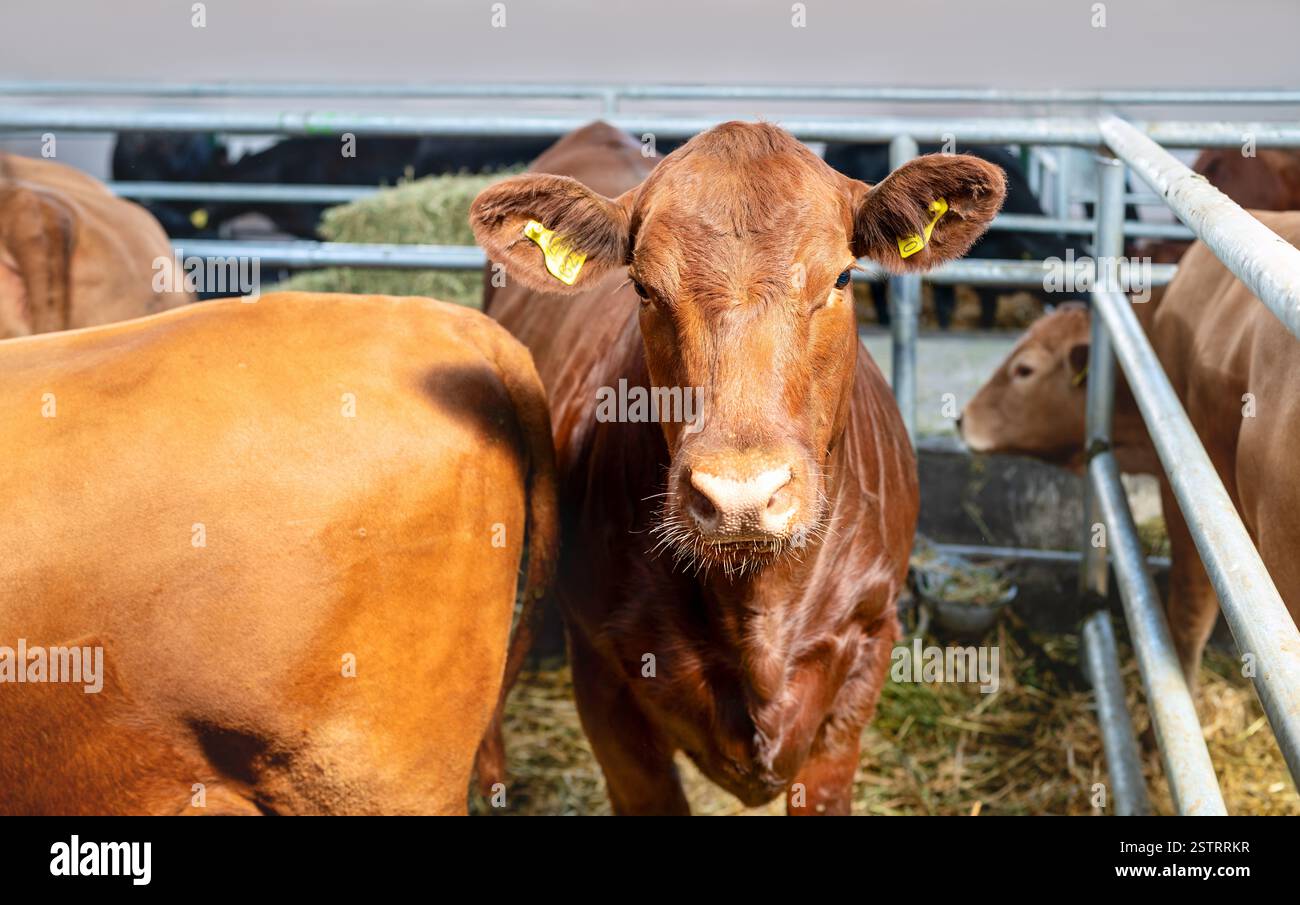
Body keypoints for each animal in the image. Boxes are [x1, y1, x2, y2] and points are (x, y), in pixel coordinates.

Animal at [471, 121, 1005, 814]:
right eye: (643, 287)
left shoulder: (863, 658)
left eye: (841, 277)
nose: (741, 496)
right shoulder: (604, 685)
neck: (758, 603)